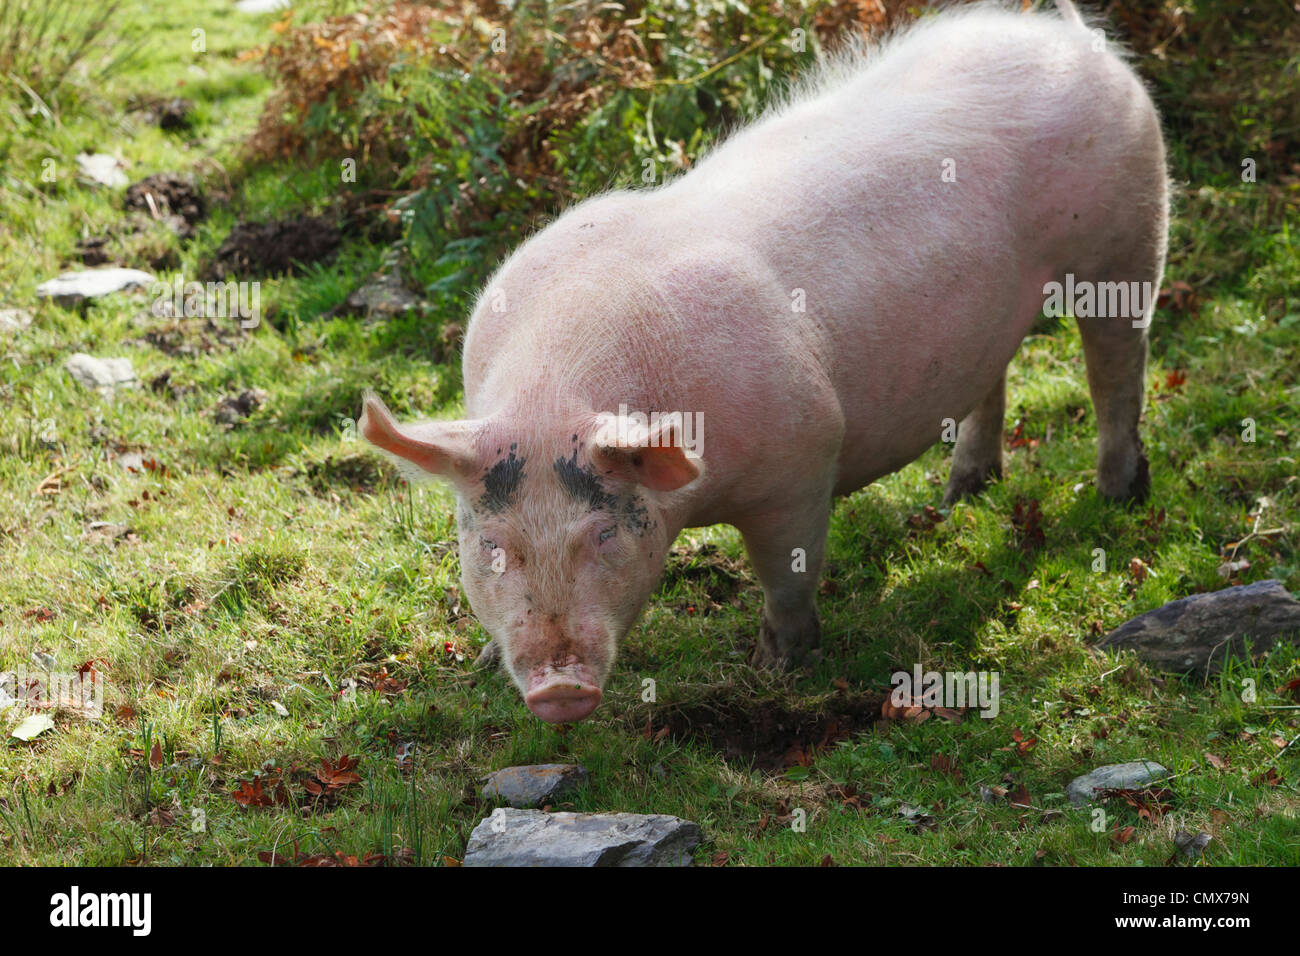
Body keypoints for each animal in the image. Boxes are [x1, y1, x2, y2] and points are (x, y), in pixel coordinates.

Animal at [361, 0, 1168, 722]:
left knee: (1117, 366)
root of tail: (1075, 37)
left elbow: (786, 572)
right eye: (493, 547)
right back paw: (962, 494)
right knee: (993, 376)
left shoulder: (805, 457)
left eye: (604, 533)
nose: (559, 691)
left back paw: (1117, 496)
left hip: (1127, 238)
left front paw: (774, 668)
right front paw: (484, 662)